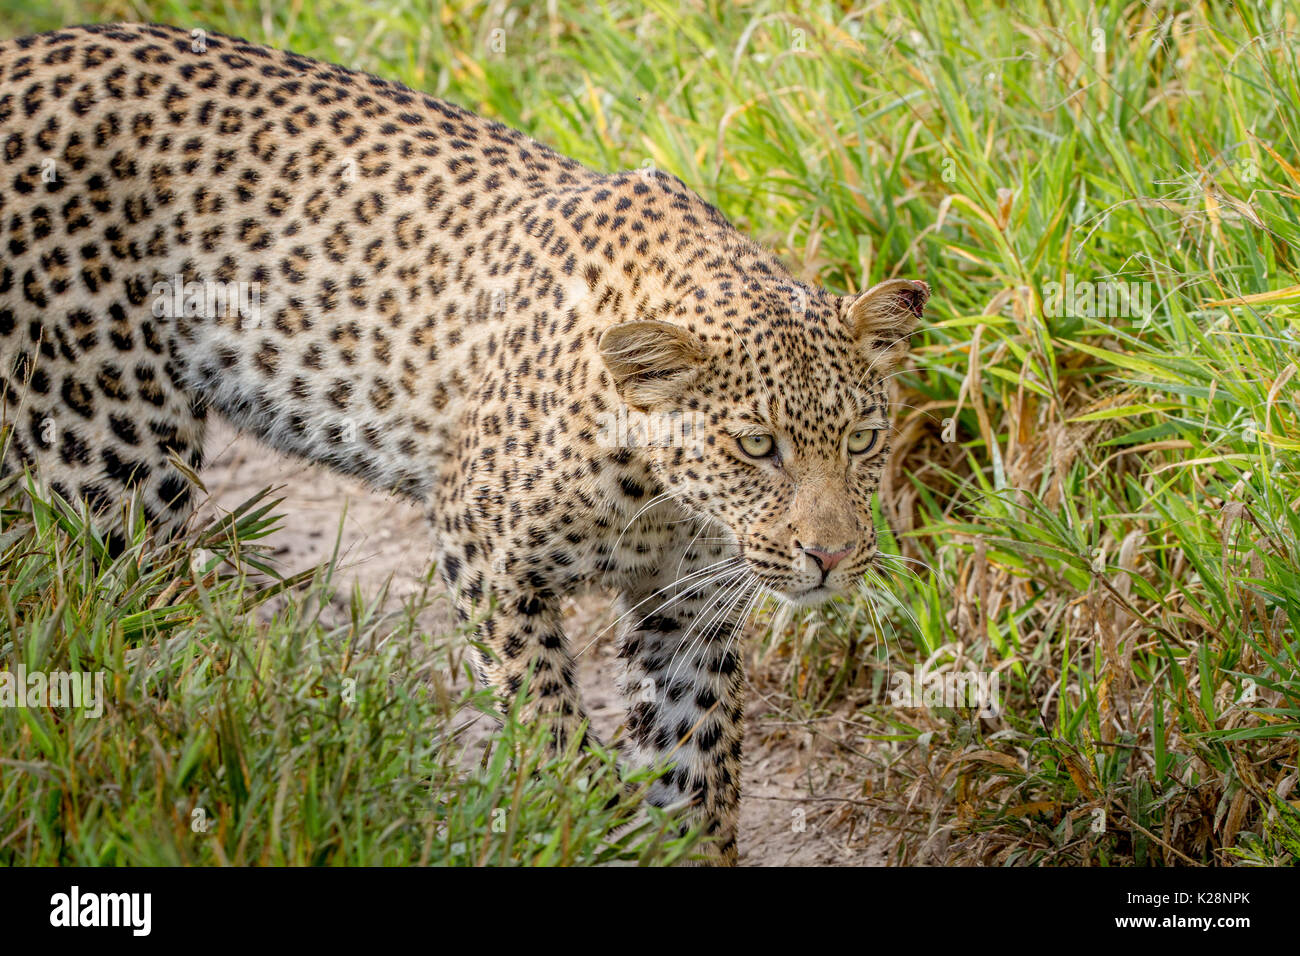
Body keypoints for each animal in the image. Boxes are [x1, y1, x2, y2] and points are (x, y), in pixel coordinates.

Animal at [0, 22, 929, 865]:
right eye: (756, 446)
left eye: (862, 439)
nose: (832, 558)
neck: (662, 495)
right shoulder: (484, 550)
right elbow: (549, 723)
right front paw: (577, 826)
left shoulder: (686, 604)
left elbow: (696, 762)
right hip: (109, 457)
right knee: (84, 626)